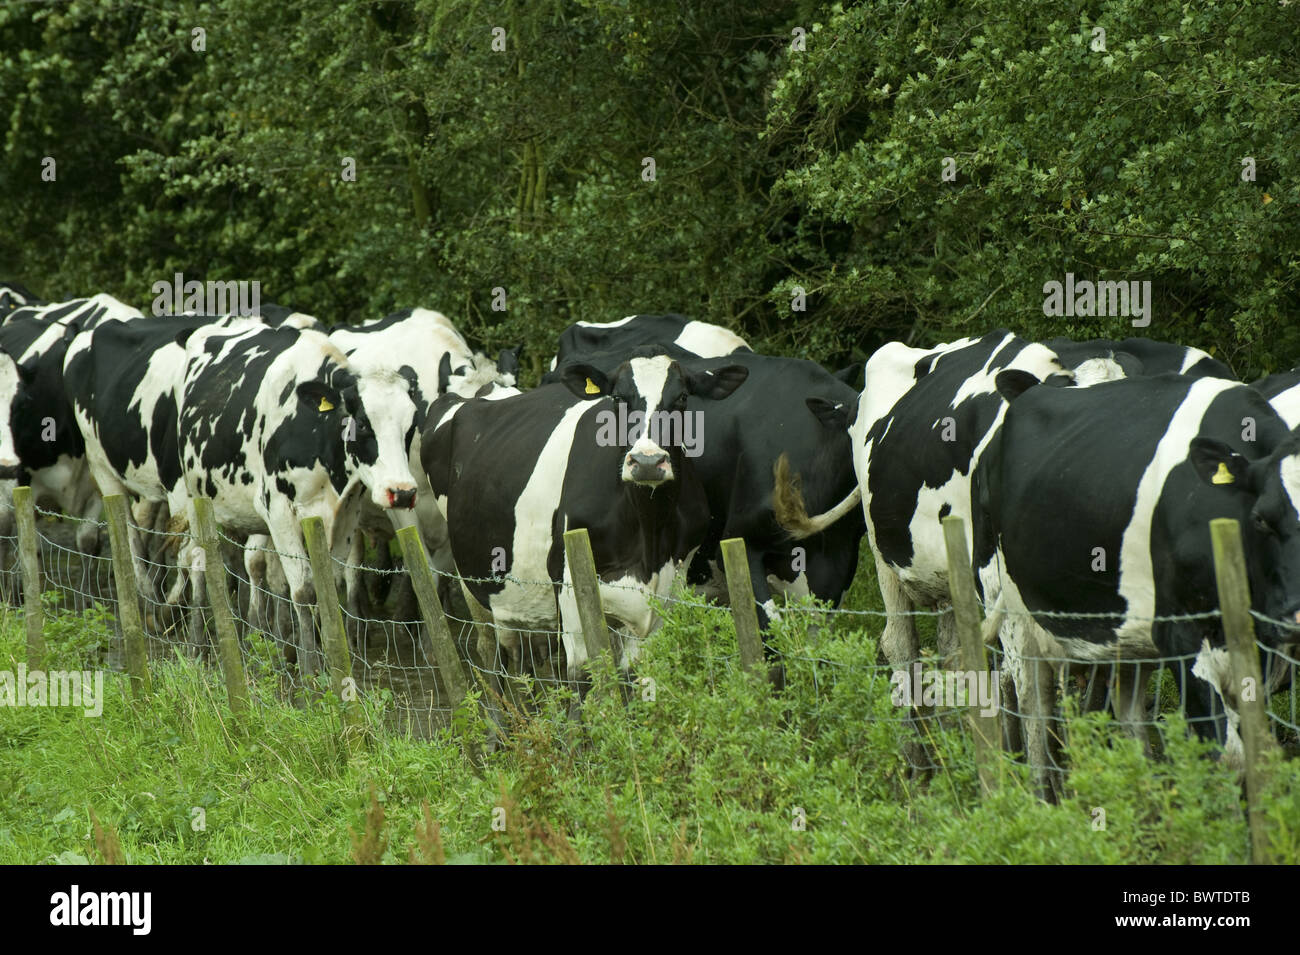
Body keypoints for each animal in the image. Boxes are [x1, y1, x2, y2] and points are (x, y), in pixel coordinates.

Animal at [421, 347, 748, 714]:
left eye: (681, 398)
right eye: (618, 398)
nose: (648, 462)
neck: (648, 529)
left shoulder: (668, 591)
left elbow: (637, 680)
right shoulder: (568, 586)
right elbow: (582, 680)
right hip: (472, 577)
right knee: (492, 652)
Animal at [972, 371, 1300, 798]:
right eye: (1261, 518)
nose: (1297, 615)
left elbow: (1258, 754)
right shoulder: (1181, 633)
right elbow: (1227, 756)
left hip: (1127, 633)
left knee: (1126, 711)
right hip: (1009, 605)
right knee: (1033, 700)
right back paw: (1042, 794)